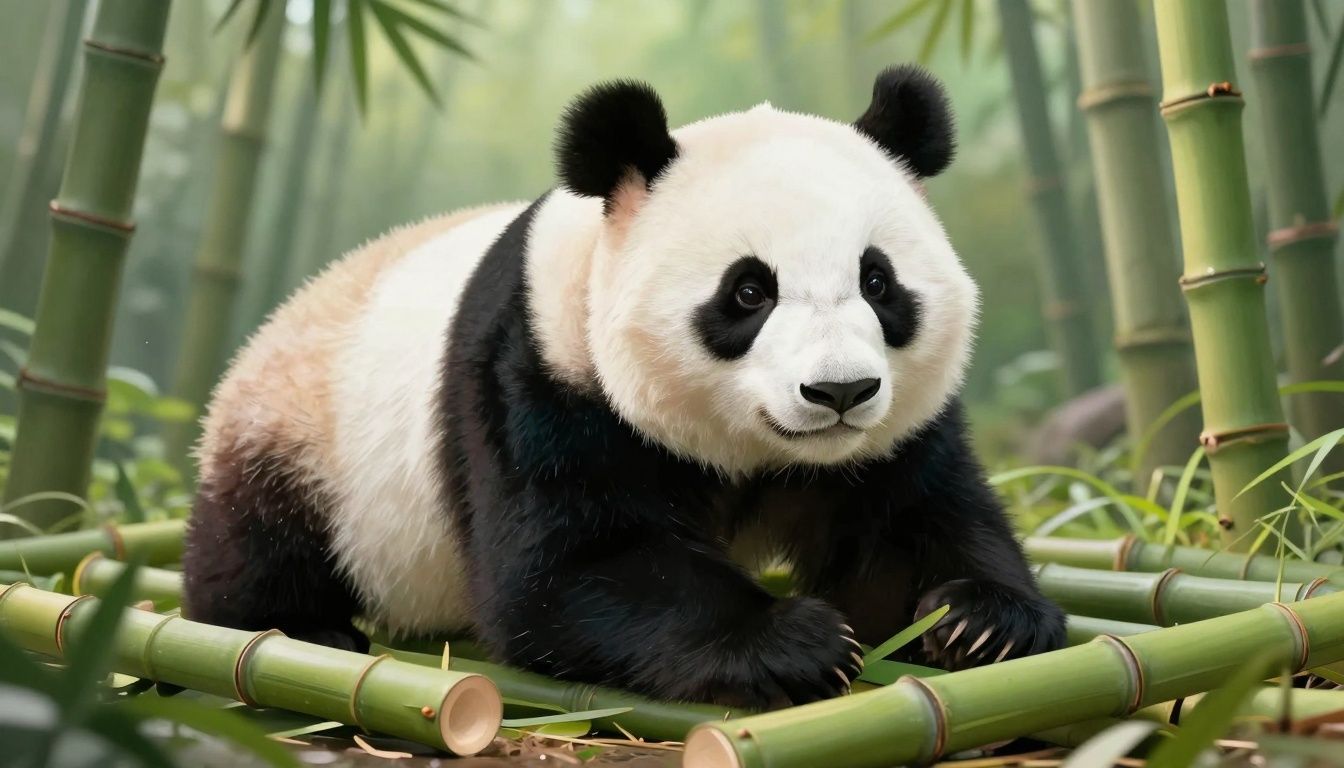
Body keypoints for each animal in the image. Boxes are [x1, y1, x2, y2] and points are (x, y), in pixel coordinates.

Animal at [183, 64, 1065, 709]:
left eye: (878, 282)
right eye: (749, 291)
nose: (839, 392)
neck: (756, 455)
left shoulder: (885, 442)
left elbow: (906, 527)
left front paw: (981, 622)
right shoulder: (538, 381)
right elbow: (568, 572)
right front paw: (794, 641)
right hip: (304, 439)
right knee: (259, 545)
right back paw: (298, 631)